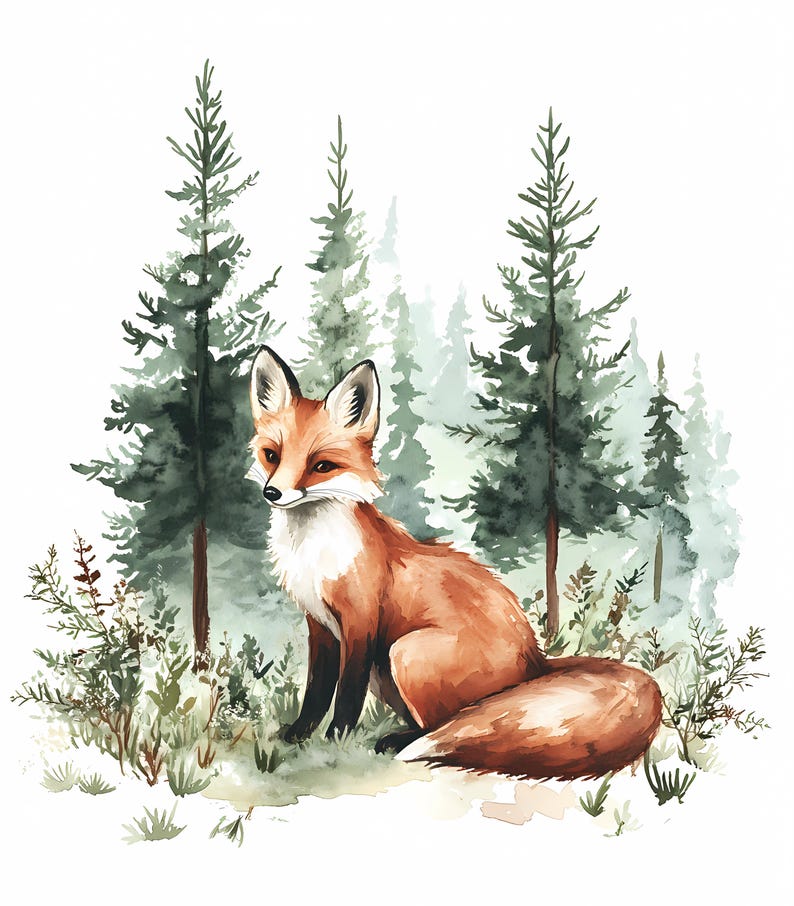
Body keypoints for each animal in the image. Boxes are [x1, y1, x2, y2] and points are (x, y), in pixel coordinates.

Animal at [247, 346, 662, 780]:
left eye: (321, 466)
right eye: (272, 455)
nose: (273, 492)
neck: (313, 550)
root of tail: (535, 663)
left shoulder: (360, 623)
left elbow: (345, 695)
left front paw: (334, 743)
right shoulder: (321, 625)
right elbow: (316, 690)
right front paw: (297, 736)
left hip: (404, 653)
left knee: (440, 724)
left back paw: (398, 741)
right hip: (389, 667)